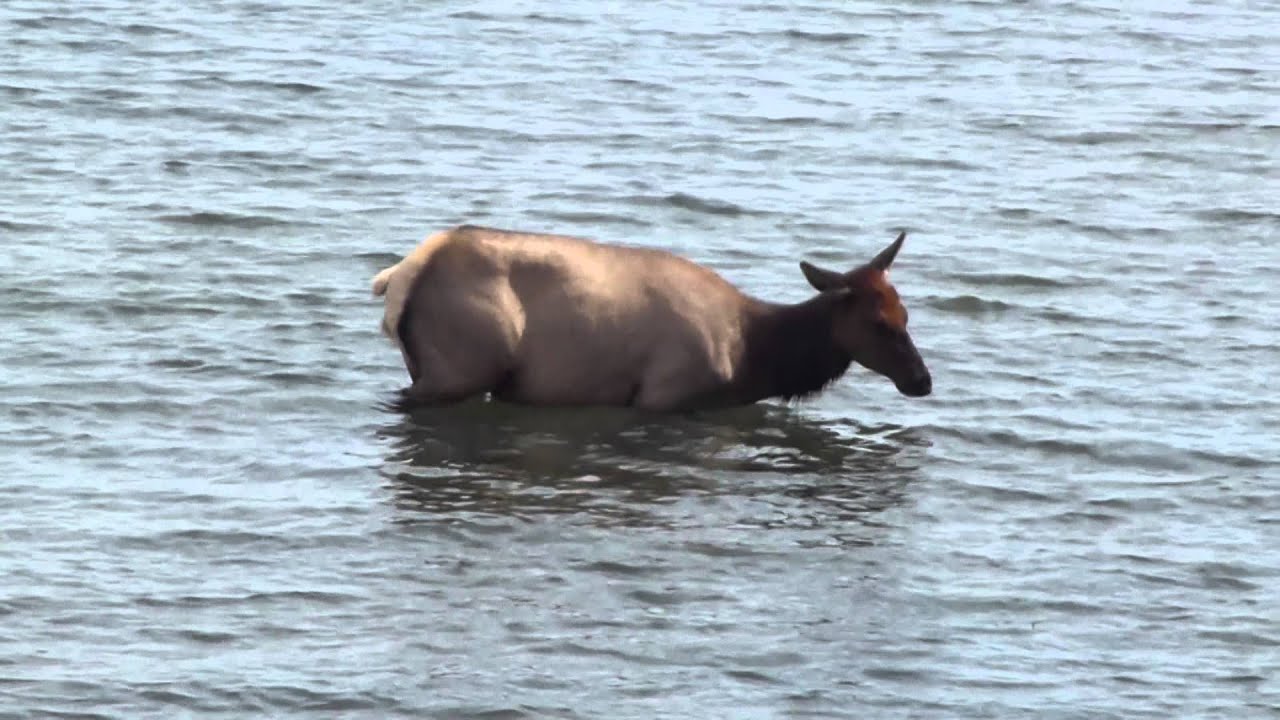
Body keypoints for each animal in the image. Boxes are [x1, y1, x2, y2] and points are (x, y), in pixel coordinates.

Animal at [371, 224, 931, 412]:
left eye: (906, 313)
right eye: (879, 324)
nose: (921, 380)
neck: (755, 358)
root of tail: (402, 274)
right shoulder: (664, 396)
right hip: (456, 371)